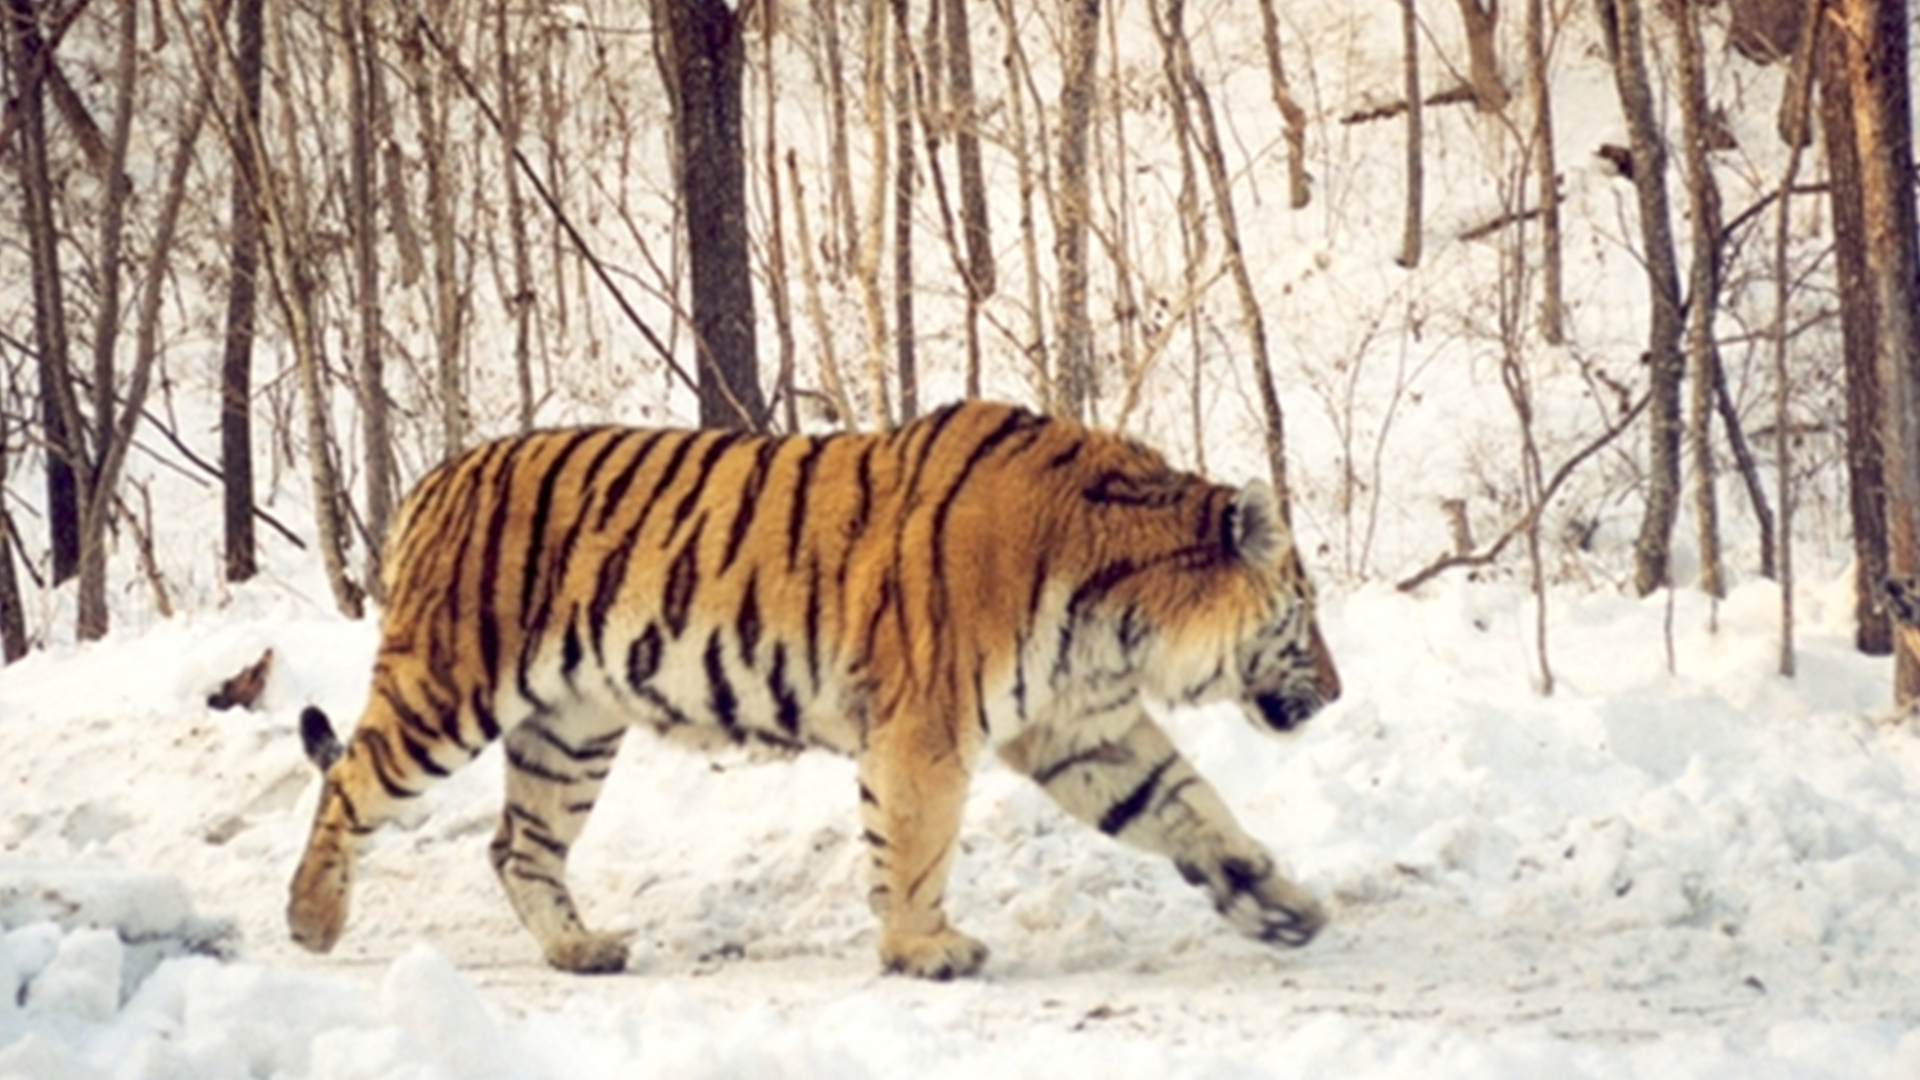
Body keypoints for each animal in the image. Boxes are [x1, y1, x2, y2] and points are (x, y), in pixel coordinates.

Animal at [287, 399, 1341, 979]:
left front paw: (1280, 905)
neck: (1122, 619)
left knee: (518, 846)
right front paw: (924, 950)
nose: (1335, 692)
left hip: (570, 730)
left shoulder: (1084, 727)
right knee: (349, 783)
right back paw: (310, 920)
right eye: (1305, 609)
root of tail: (433, 478)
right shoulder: (926, 729)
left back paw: (581, 952)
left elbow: (1190, 808)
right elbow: (915, 845)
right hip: (445, 688)